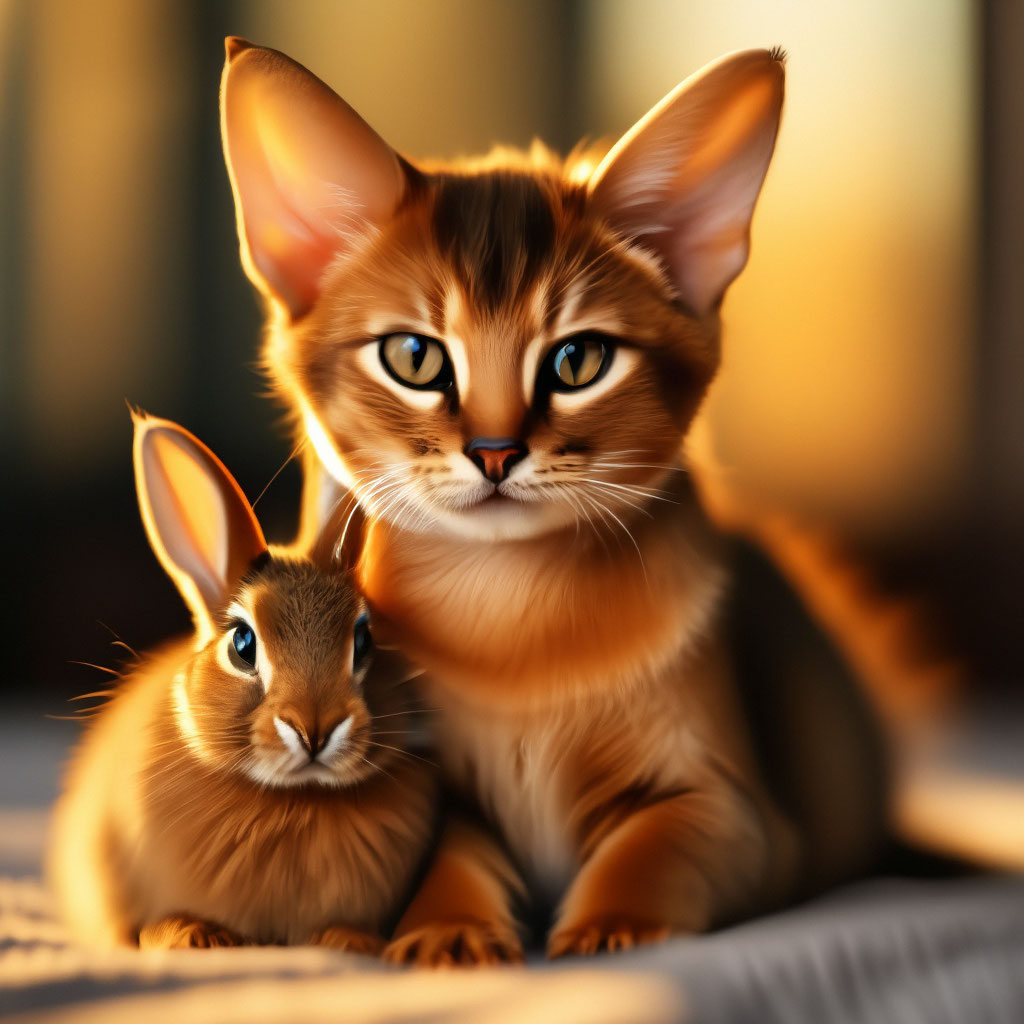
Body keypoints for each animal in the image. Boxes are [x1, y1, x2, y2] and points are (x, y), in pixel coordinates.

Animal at [47, 413, 437, 952]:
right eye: (243, 644)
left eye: (364, 640)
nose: (315, 728)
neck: (294, 799)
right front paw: (193, 935)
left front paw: (348, 941)